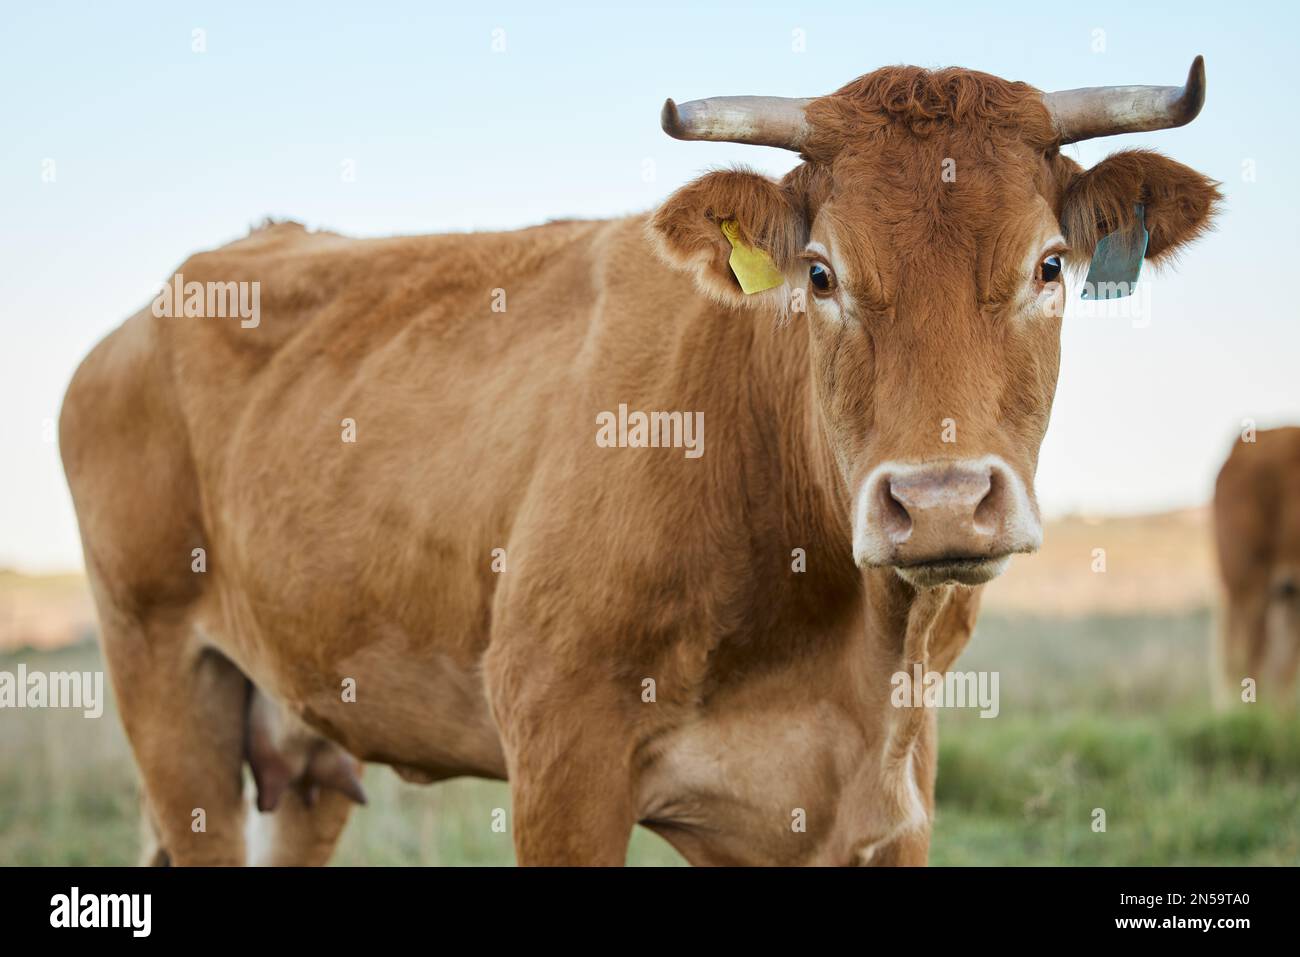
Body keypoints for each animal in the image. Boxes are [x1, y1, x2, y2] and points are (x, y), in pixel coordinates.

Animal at [60, 59, 1221, 866]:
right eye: (820, 272)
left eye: (1050, 265)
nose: (939, 502)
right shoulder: (563, 759)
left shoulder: (887, 798)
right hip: (166, 678)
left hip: (295, 748)